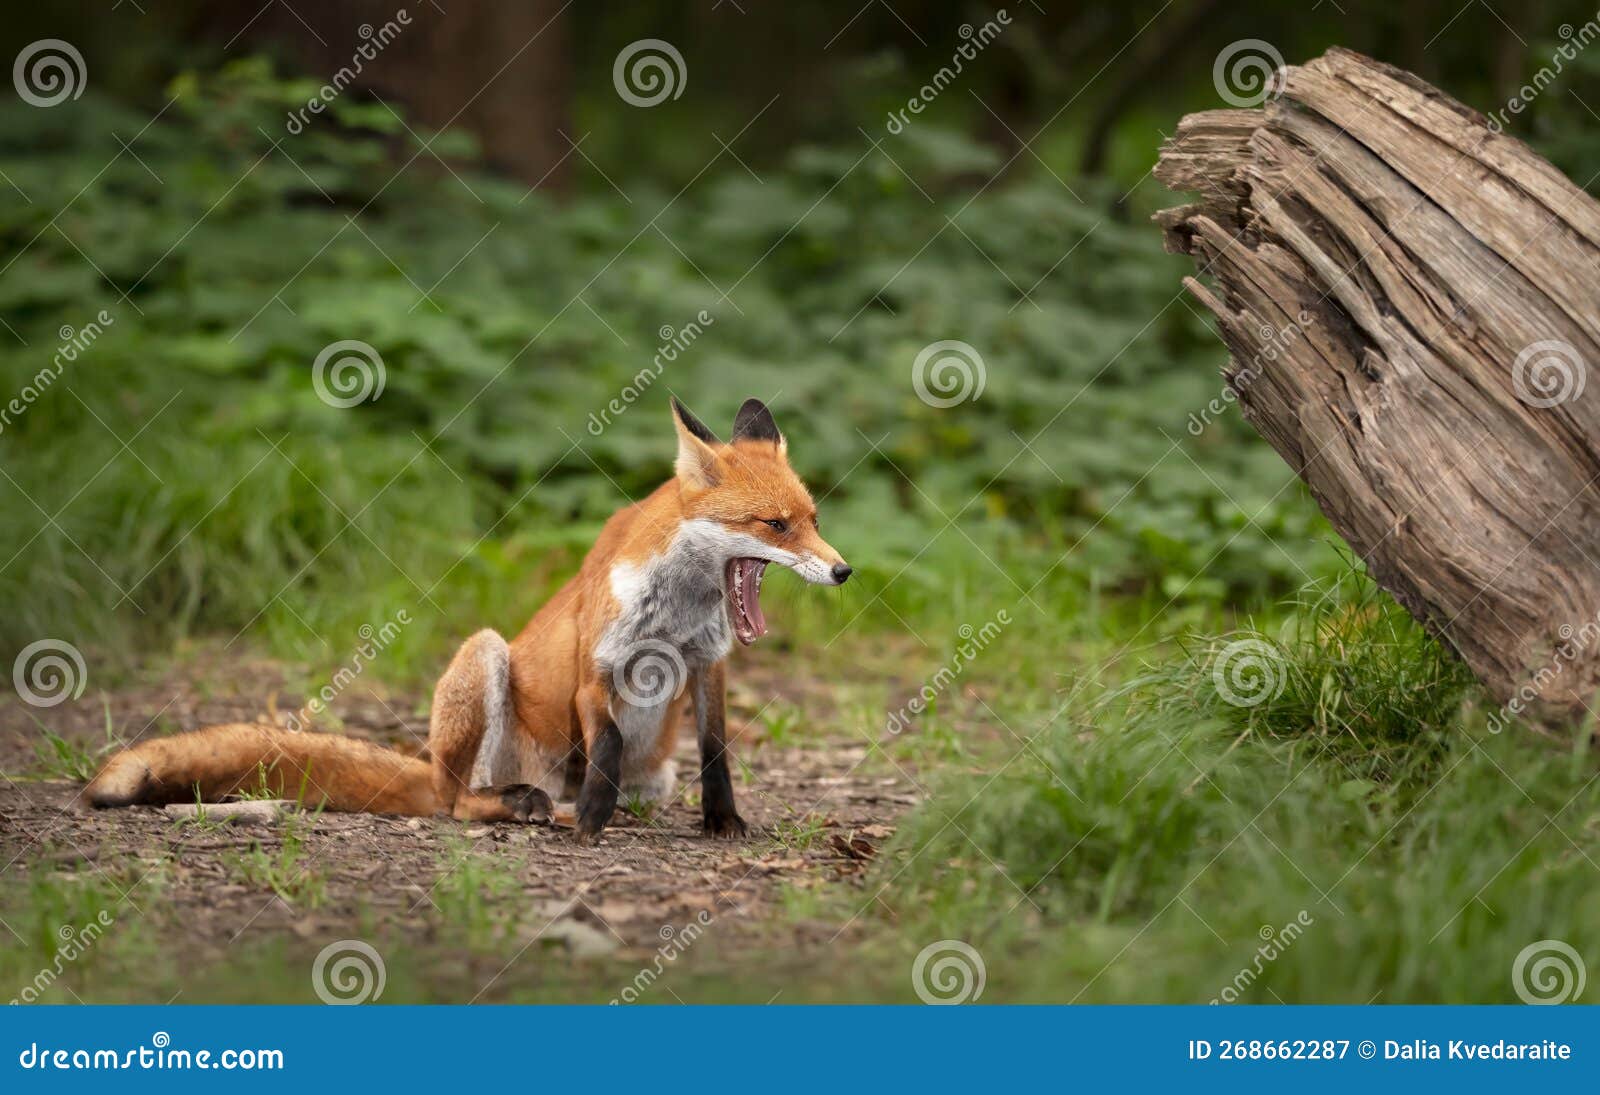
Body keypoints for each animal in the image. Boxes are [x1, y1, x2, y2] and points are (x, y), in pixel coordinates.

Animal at [82, 397, 852, 842]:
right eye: (775, 525)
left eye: (814, 519)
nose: (844, 571)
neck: (679, 610)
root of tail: (432, 766)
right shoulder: (596, 667)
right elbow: (601, 744)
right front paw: (592, 825)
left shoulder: (708, 662)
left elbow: (718, 752)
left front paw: (723, 822)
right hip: (482, 661)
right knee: (454, 803)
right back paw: (527, 807)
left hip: (652, 774)